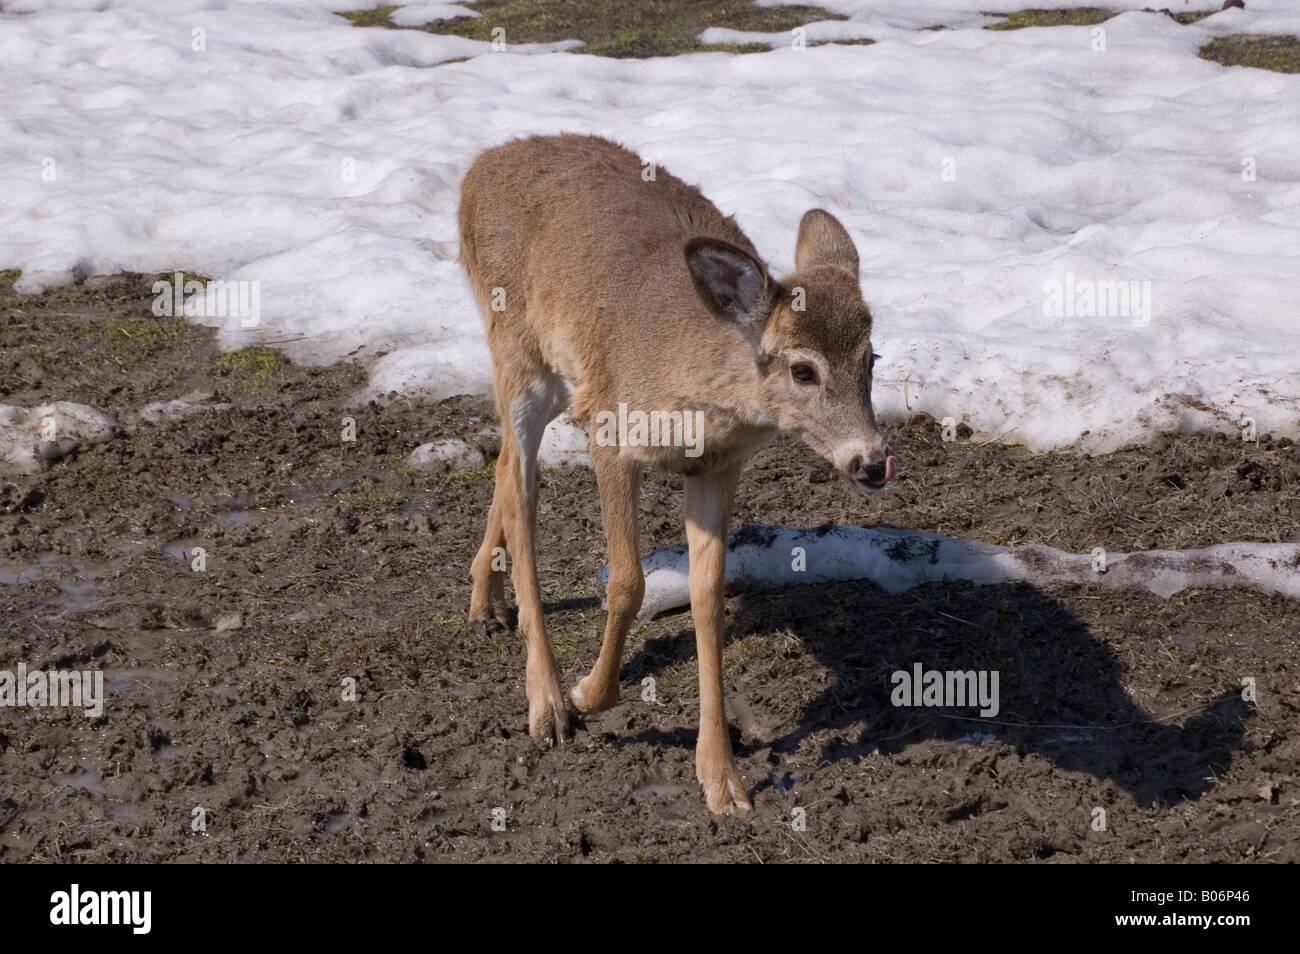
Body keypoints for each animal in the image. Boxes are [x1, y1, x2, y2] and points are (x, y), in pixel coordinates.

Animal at [457, 133, 896, 814]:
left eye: (871, 358)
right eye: (803, 369)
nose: (871, 462)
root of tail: (479, 167)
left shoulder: (716, 466)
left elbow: (707, 598)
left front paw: (721, 778)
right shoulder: (611, 431)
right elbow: (627, 583)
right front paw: (590, 694)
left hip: (554, 375)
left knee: (505, 466)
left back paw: (486, 603)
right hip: (516, 347)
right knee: (519, 481)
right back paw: (548, 704)